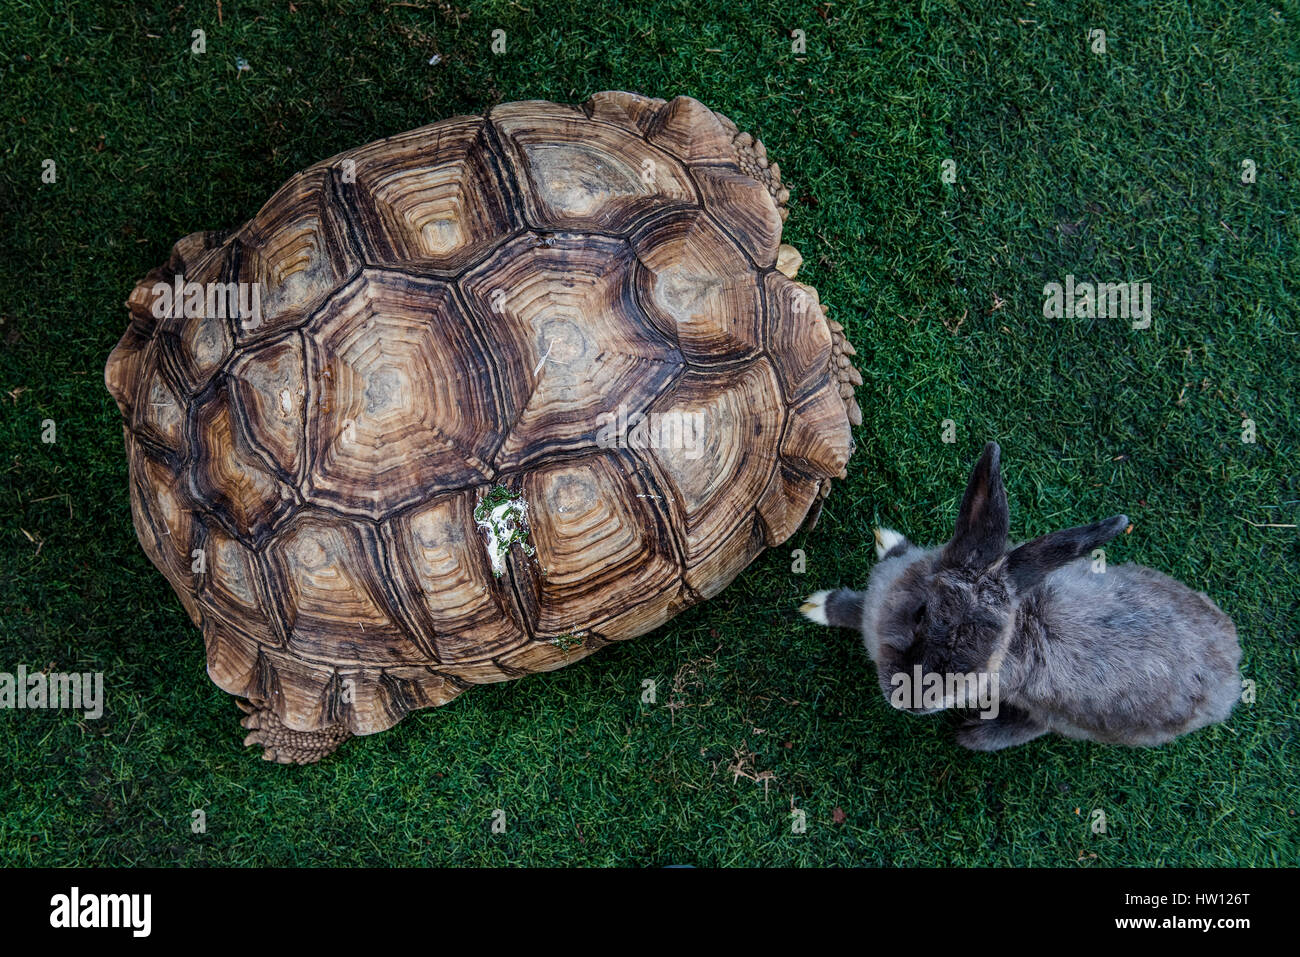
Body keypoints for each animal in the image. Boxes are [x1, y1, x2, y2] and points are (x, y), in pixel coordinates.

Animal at [801, 442, 1242, 751]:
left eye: (989, 650)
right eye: (921, 613)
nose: (909, 702)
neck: (1023, 627)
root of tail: (1232, 675)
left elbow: (855, 609)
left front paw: (817, 607)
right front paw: (888, 543)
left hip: (1068, 717)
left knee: (1036, 725)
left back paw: (975, 735)